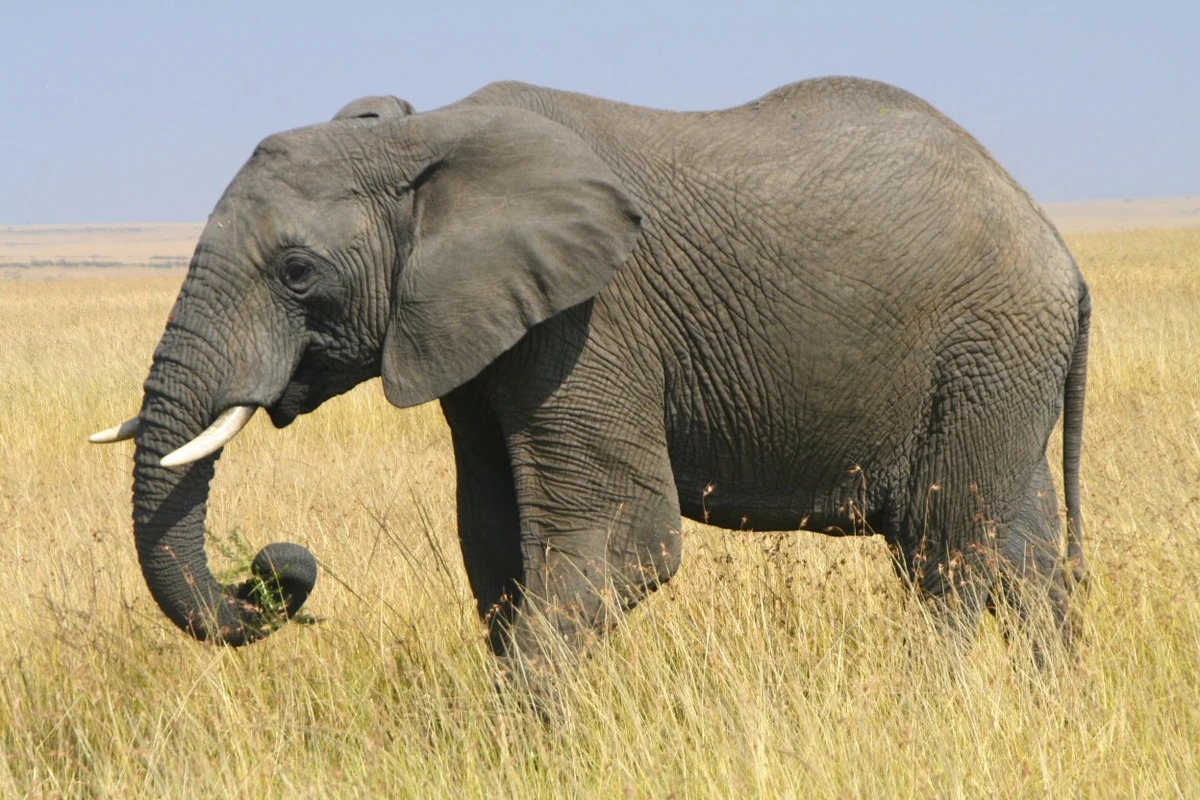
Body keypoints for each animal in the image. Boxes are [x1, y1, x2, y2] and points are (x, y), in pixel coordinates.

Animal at [92, 76, 1090, 658]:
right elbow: (495, 544)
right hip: (1000, 371)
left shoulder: (592, 320)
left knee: (949, 553)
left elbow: (621, 539)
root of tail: (1060, 251)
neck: (426, 140)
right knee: (1024, 554)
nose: (277, 565)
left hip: (984, 348)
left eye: (297, 272)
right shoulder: (477, 333)